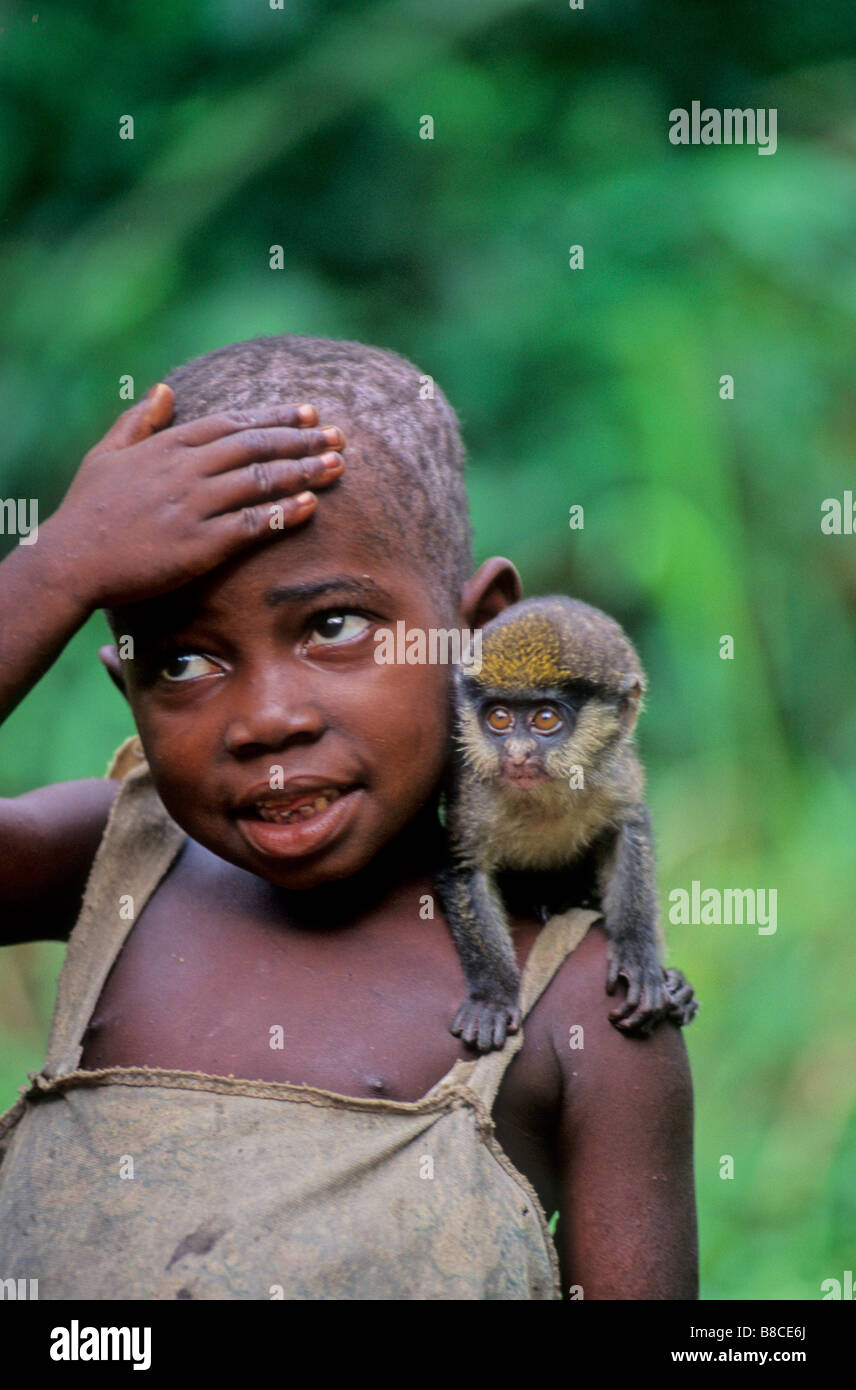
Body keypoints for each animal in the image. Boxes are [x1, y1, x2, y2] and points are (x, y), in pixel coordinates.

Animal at [436, 595, 698, 1053]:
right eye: (499, 718)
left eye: (544, 719)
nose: (517, 755)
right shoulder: (473, 794)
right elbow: (466, 867)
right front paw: (493, 996)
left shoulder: (617, 774)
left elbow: (628, 830)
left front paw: (638, 955)